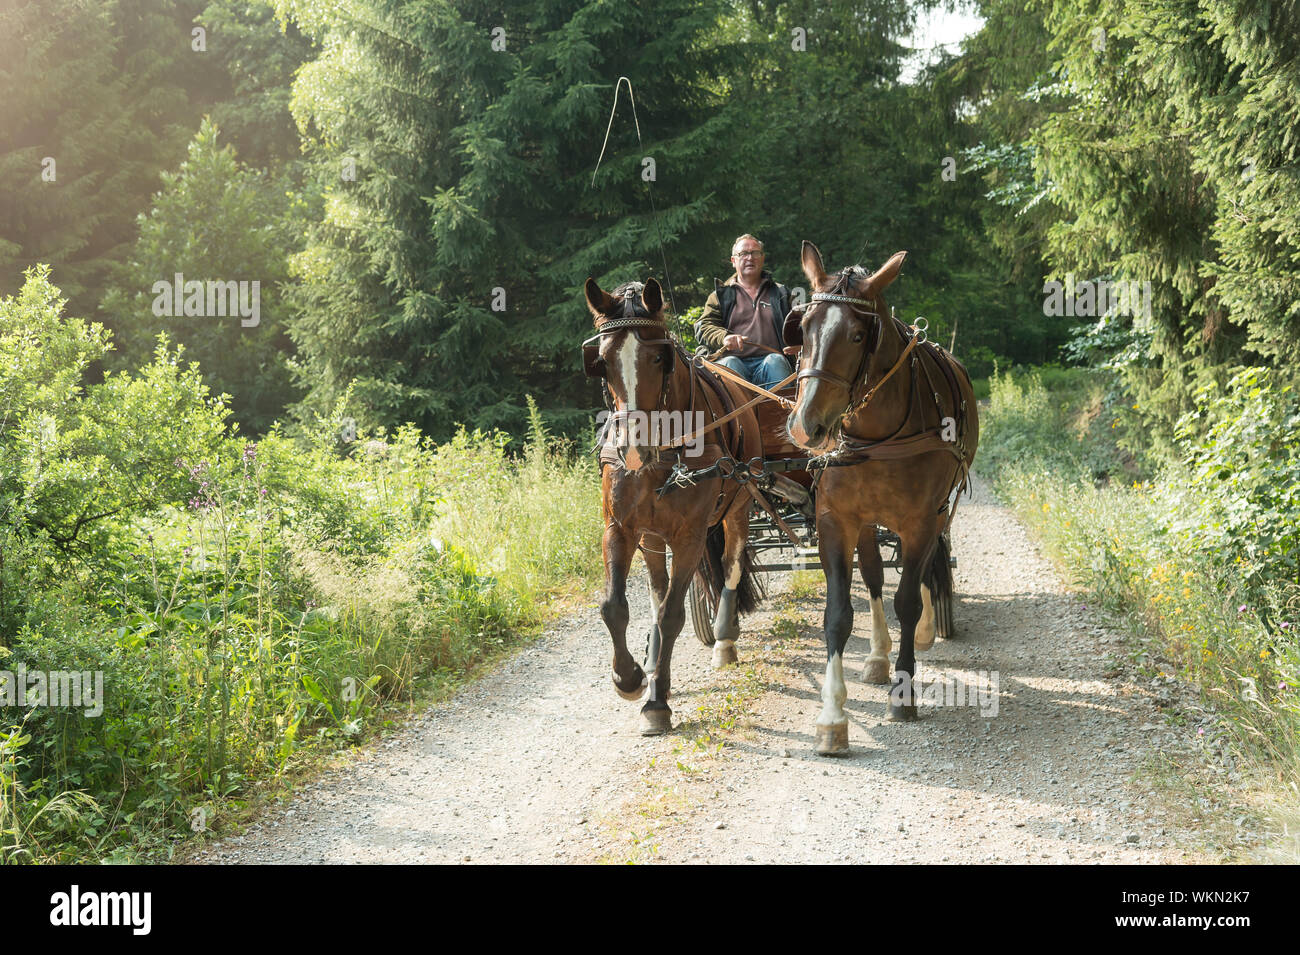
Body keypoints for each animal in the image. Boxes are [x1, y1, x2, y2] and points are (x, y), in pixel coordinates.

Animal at [583, 276, 765, 735]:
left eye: (656, 357)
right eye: (603, 361)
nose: (632, 449)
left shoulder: (690, 536)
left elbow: (672, 616)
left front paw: (656, 703)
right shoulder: (620, 528)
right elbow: (615, 606)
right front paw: (630, 677)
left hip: (738, 505)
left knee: (731, 565)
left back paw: (723, 638)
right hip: (650, 535)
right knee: (656, 586)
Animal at [784, 241, 979, 755]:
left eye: (856, 335)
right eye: (803, 329)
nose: (806, 426)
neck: (877, 434)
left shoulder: (921, 520)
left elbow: (908, 599)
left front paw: (903, 694)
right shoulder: (837, 520)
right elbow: (838, 615)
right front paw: (832, 718)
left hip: (936, 513)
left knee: (926, 568)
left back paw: (925, 631)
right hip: (868, 521)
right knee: (872, 575)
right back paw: (875, 656)